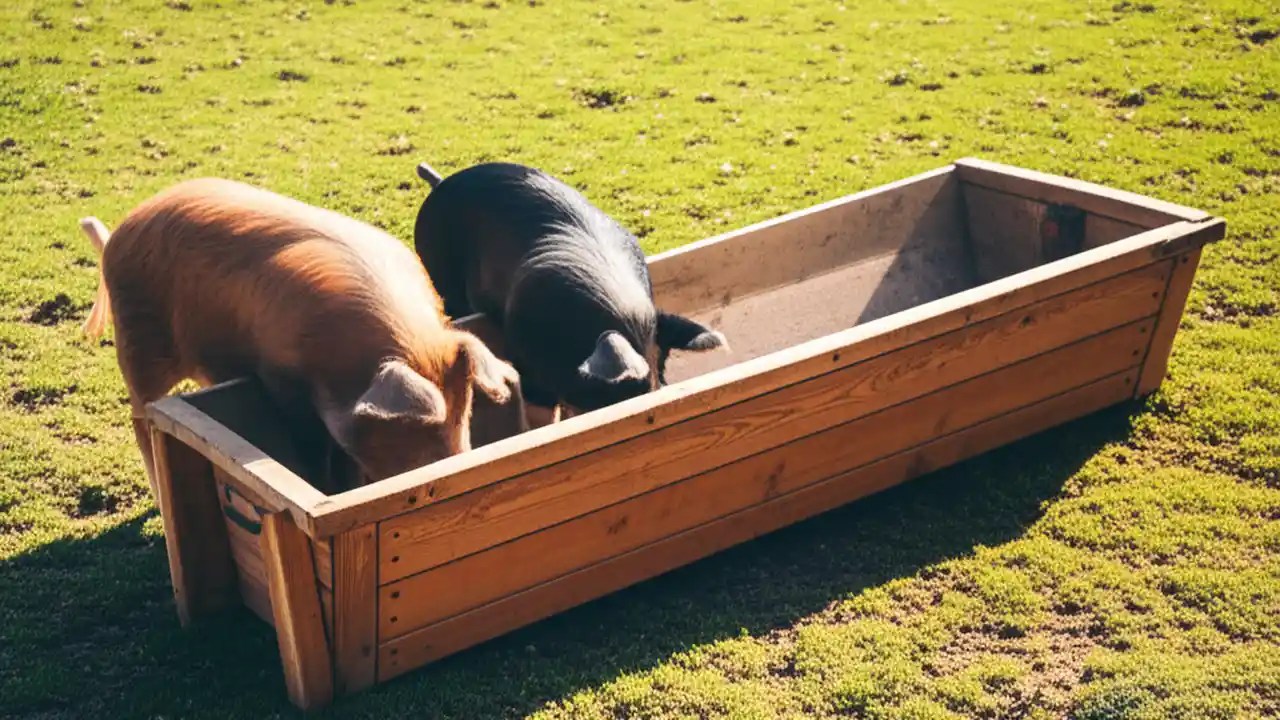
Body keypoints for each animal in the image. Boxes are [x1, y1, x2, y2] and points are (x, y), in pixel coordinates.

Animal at [79, 177, 519, 494]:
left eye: (464, 412)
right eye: (419, 429)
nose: (455, 462)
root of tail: (118, 235)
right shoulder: (280, 375)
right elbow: (312, 445)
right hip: (138, 341)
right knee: (140, 418)